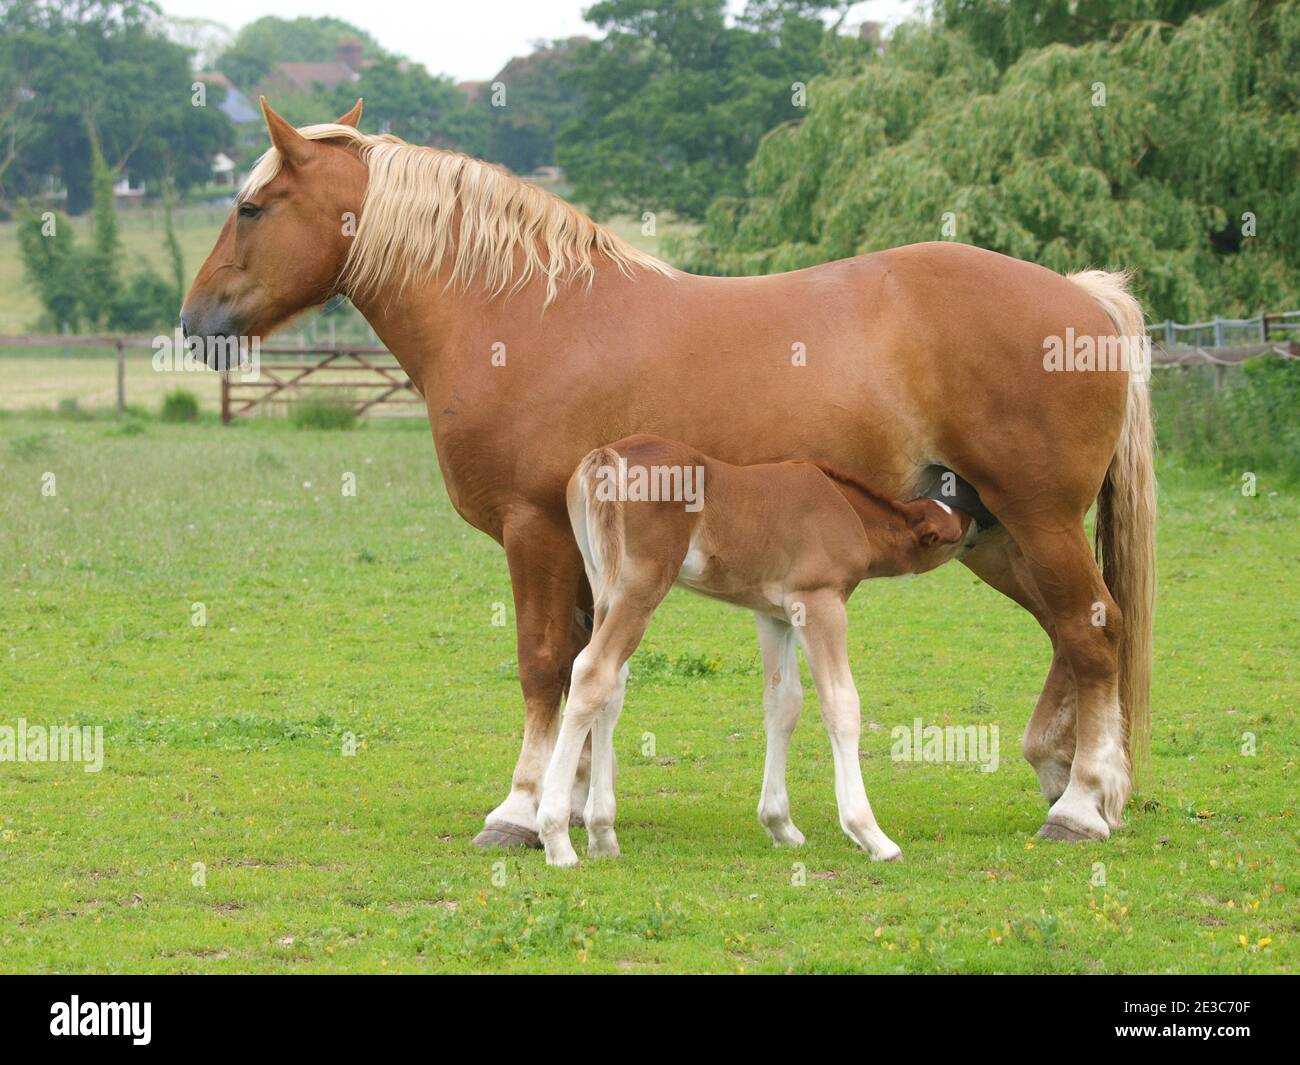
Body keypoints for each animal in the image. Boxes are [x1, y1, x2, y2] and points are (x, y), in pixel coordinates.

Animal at [542, 433, 975, 867]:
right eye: (953, 530)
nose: (977, 517)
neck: (847, 510)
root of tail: (608, 454)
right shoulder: (819, 601)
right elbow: (841, 703)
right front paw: (871, 835)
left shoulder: (774, 616)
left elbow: (784, 702)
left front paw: (780, 825)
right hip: (641, 588)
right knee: (592, 672)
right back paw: (557, 840)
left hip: (604, 587)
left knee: (611, 687)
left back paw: (601, 834)